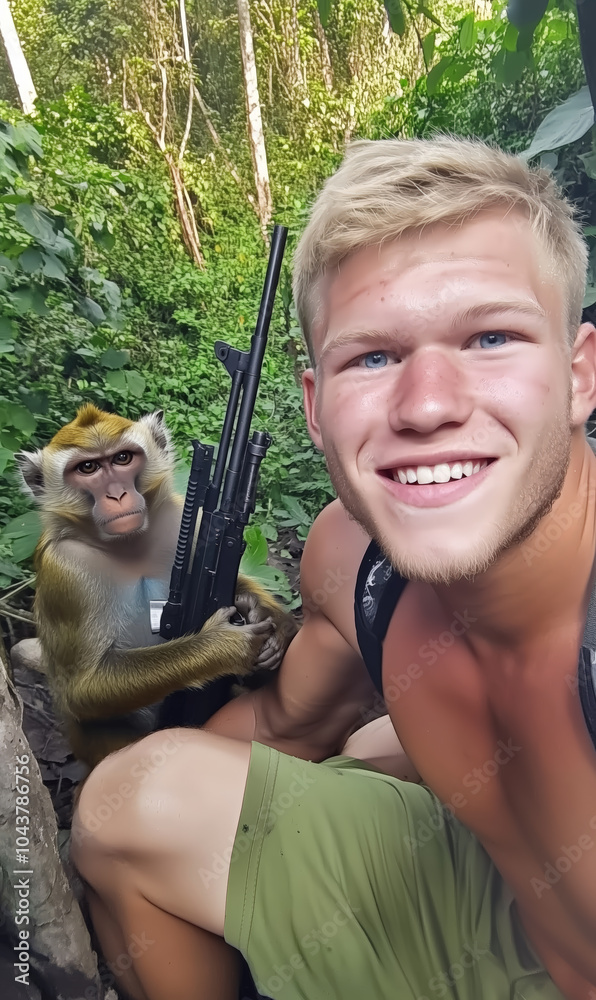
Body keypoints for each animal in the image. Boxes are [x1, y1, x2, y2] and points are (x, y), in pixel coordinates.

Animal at [16, 404, 298, 769]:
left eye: (122, 458)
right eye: (88, 467)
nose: (117, 494)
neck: (128, 545)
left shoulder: (176, 517)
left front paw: (270, 618)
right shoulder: (64, 567)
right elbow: (82, 689)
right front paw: (223, 646)